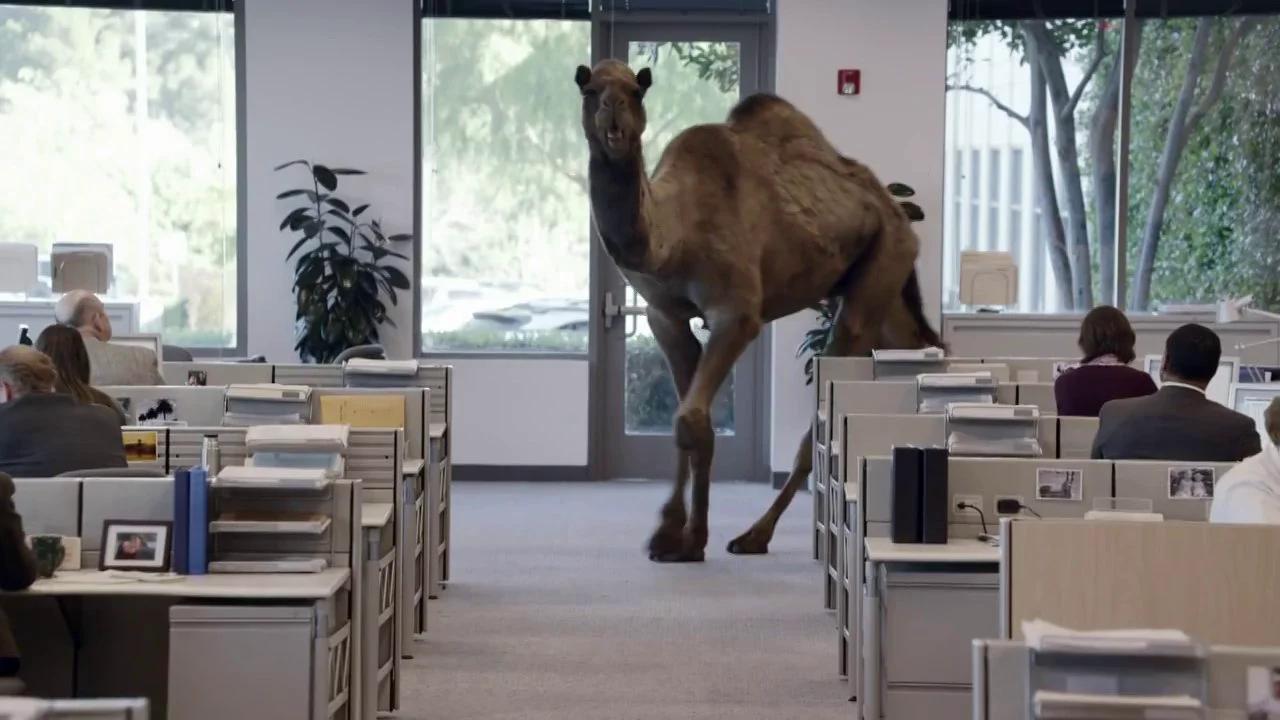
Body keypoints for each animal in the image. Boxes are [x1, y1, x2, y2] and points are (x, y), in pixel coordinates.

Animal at [575, 59, 943, 563]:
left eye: (635, 91)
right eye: (589, 89)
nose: (612, 112)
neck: (674, 235)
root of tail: (896, 207)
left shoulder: (737, 315)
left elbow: (689, 420)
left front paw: (679, 533)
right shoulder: (663, 316)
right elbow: (691, 422)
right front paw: (681, 537)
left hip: (878, 268)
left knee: (830, 397)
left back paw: (756, 534)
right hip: (878, 290)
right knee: (916, 349)